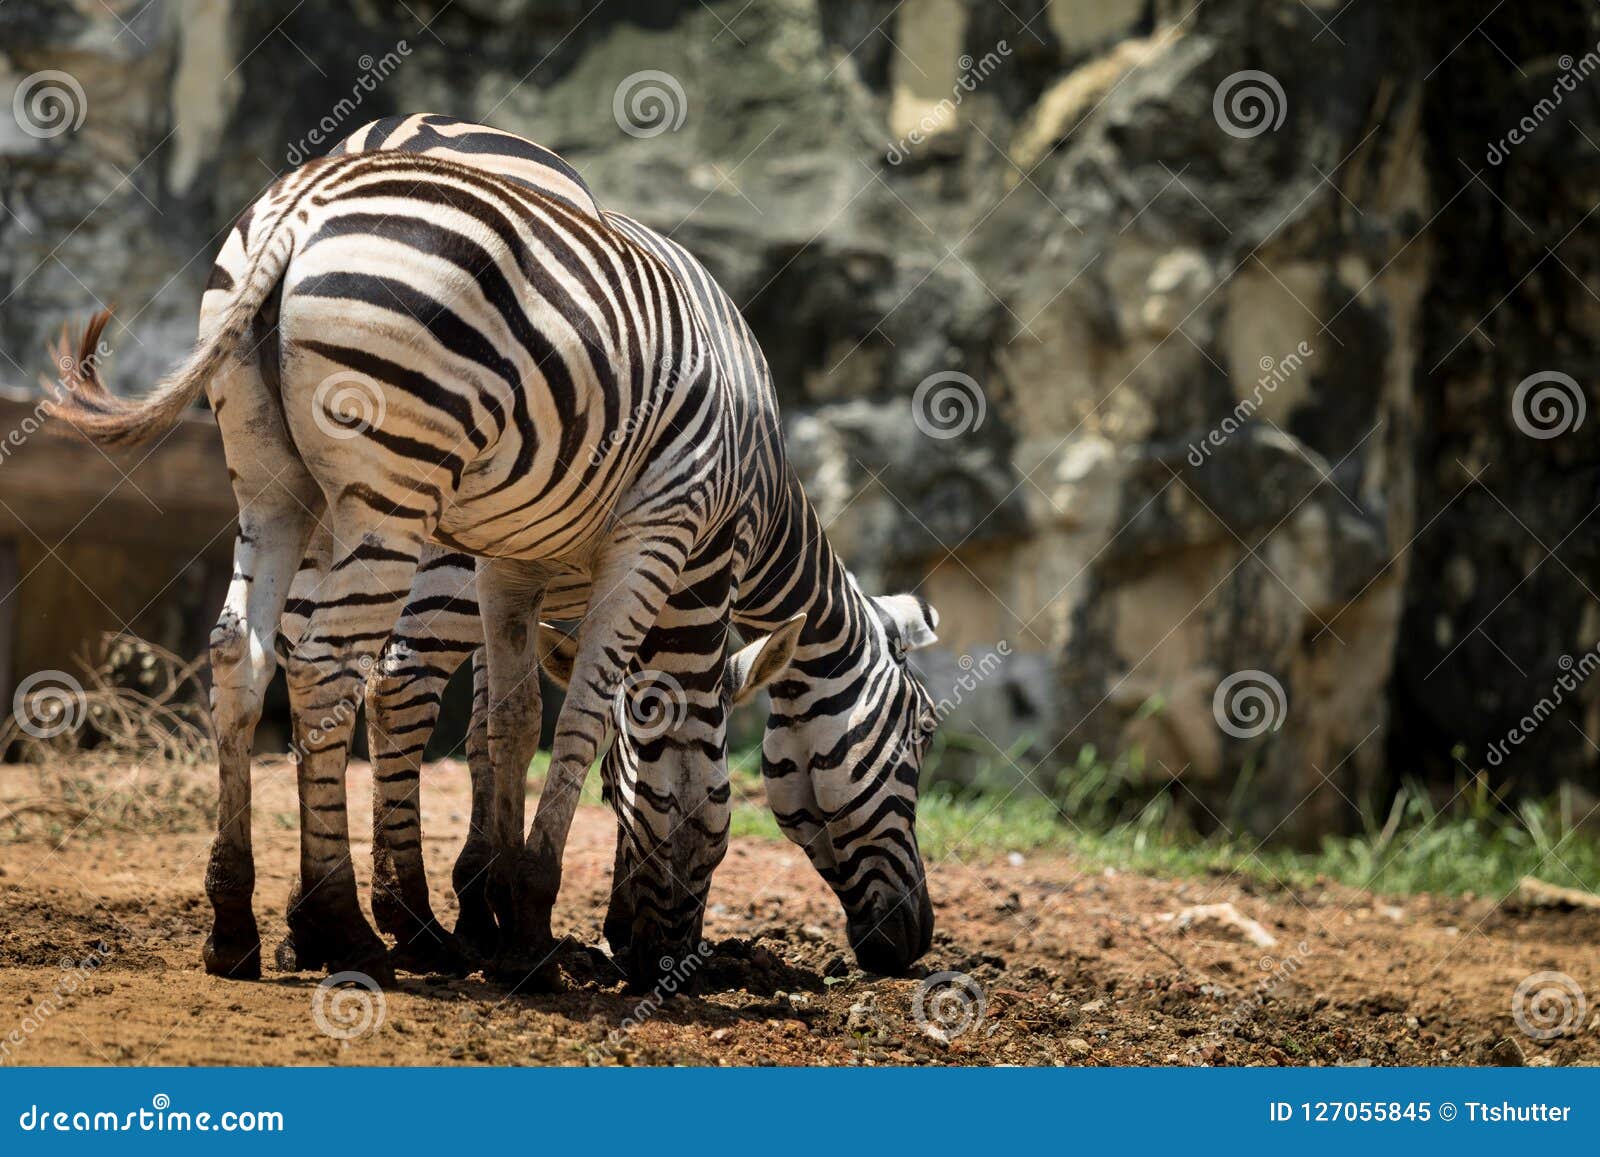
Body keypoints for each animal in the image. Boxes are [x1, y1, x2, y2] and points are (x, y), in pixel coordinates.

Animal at [47, 122, 941, 988]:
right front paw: (526, 921)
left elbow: (514, 722)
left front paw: (508, 916)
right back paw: (352, 925)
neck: (748, 490)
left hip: (278, 487)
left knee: (248, 655)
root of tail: (304, 206)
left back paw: (244, 925)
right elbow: (582, 717)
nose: (910, 942)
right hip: (400, 492)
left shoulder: (517, 555)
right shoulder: (658, 533)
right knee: (346, 671)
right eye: (925, 733)